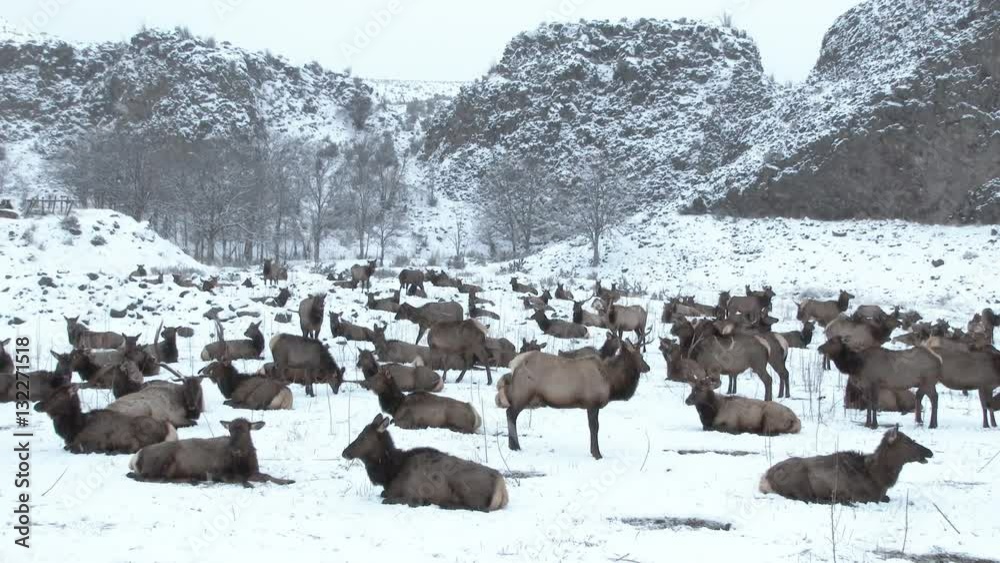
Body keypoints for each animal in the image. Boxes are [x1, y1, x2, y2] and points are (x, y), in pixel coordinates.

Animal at [34, 384, 177, 454]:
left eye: (57, 396)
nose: (37, 405)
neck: (74, 429)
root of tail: (167, 428)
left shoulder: (86, 441)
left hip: (141, 429)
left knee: (137, 446)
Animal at [128, 418, 294, 486]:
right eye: (230, 430)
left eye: (246, 430)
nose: (234, 449)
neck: (243, 463)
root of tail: (135, 458)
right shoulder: (218, 472)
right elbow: (240, 479)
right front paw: (248, 485)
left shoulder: (253, 471)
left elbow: (267, 476)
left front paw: (287, 481)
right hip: (158, 462)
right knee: (144, 477)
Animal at [343, 414, 508, 511]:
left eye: (363, 437)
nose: (344, 452)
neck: (390, 472)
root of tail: (502, 488)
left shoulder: (411, 492)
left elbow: (389, 499)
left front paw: (422, 502)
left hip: (463, 485)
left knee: (478, 507)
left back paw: (444, 504)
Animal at [498, 339, 651, 459]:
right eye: (640, 356)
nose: (648, 367)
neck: (611, 382)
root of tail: (515, 364)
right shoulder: (592, 403)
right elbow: (594, 428)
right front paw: (597, 454)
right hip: (523, 393)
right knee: (510, 413)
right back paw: (515, 446)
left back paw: (513, 445)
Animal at [759, 426, 932, 504]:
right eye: (909, 441)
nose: (929, 452)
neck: (879, 478)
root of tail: (765, 478)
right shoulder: (860, 496)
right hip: (799, 481)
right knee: (803, 497)